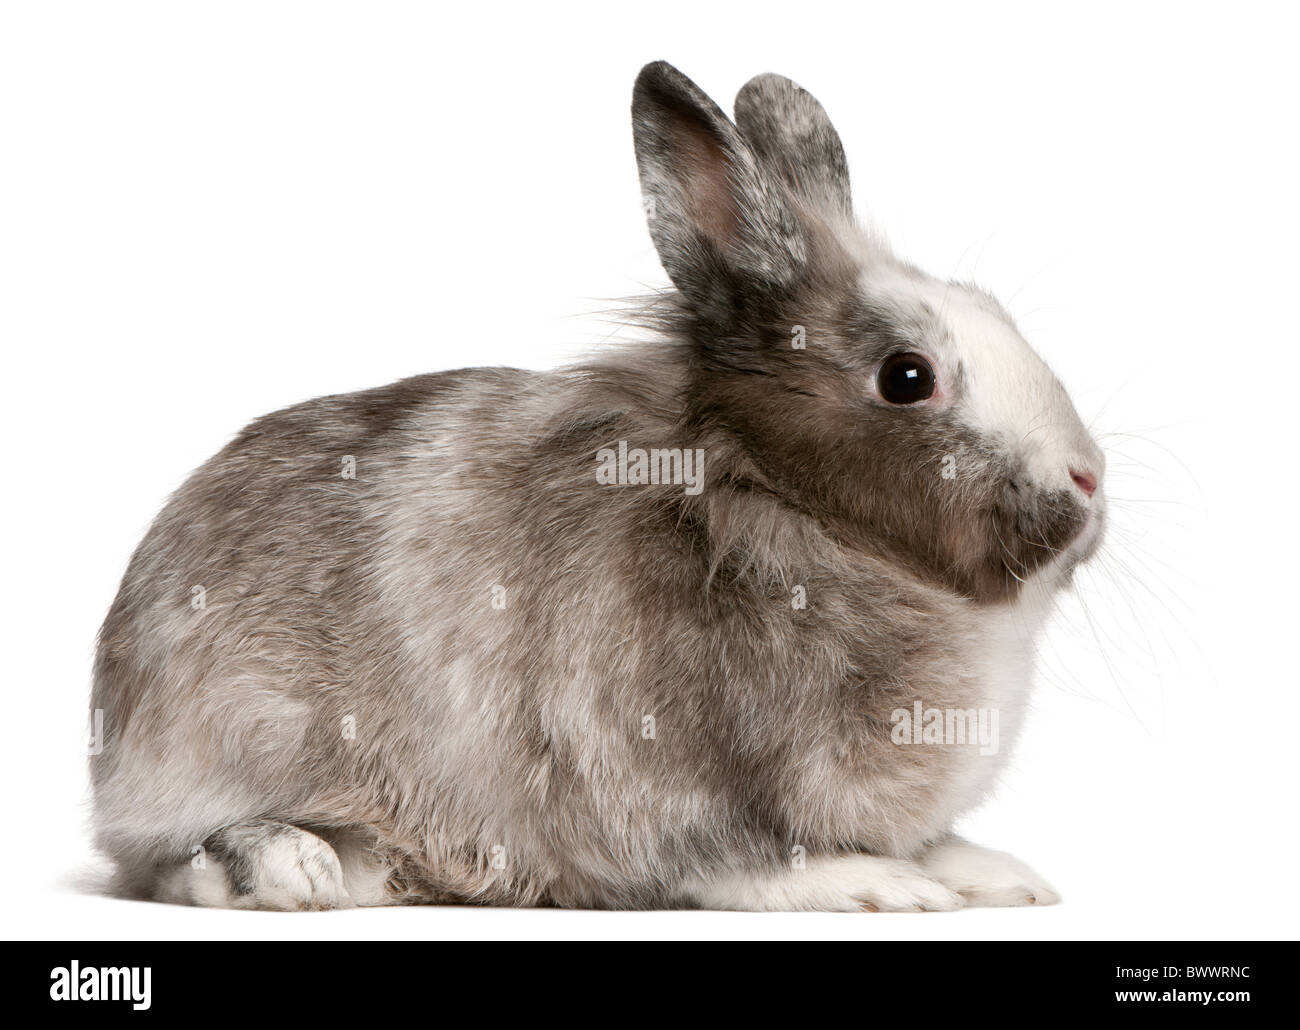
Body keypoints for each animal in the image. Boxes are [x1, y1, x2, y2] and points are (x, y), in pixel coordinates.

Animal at [90, 61, 1105, 912]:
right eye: (906, 376)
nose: (1089, 477)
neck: (776, 501)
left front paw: (994, 874)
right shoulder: (663, 783)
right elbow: (745, 862)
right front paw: (881, 887)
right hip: (232, 737)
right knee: (170, 861)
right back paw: (292, 870)